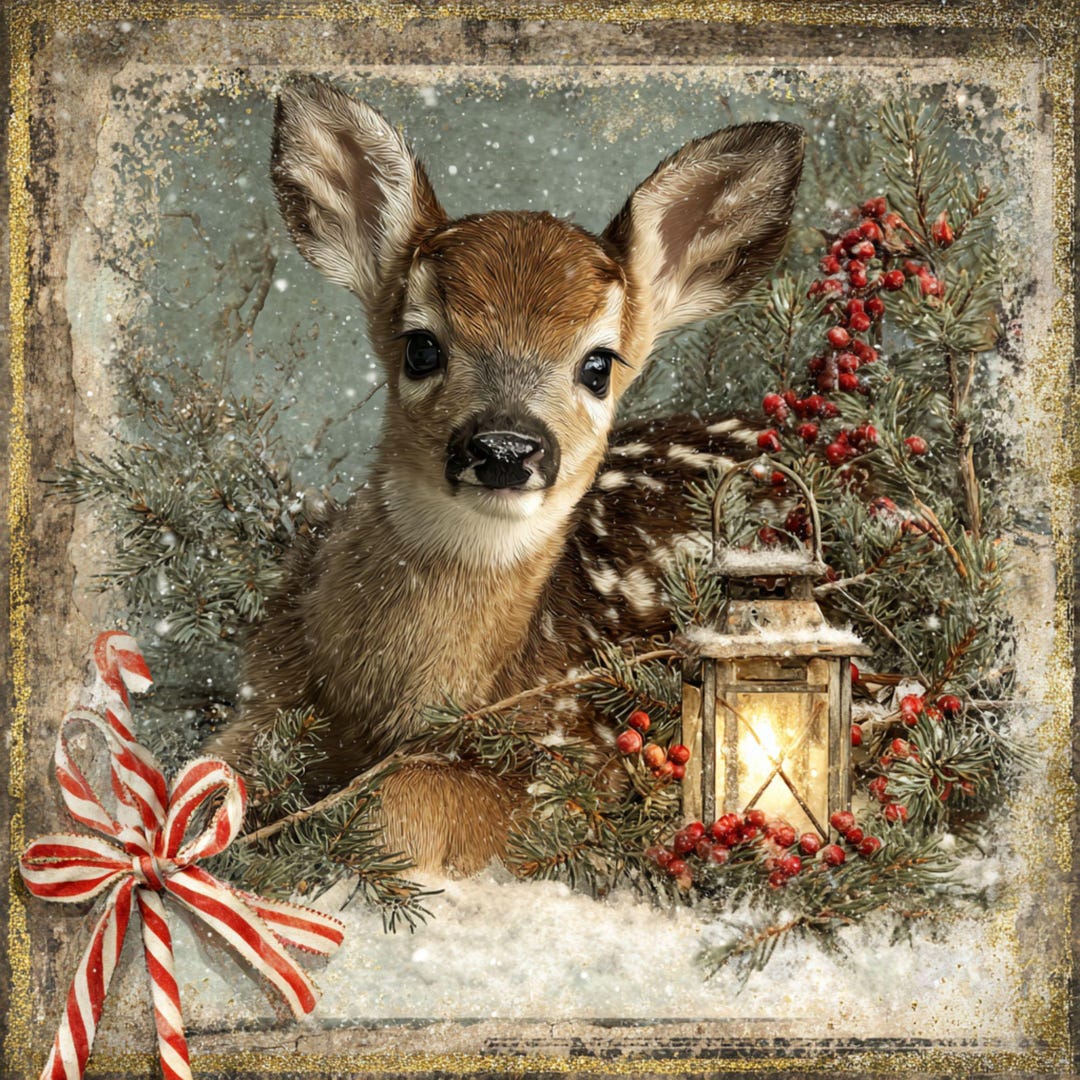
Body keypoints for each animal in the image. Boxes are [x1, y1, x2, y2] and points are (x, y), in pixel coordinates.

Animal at [213, 75, 805, 878]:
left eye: (598, 364)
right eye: (421, 347)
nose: (504, 448)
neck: (380, 704)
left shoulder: (577, 760)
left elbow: (399, 804)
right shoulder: (267, 690)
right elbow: (202, 768)